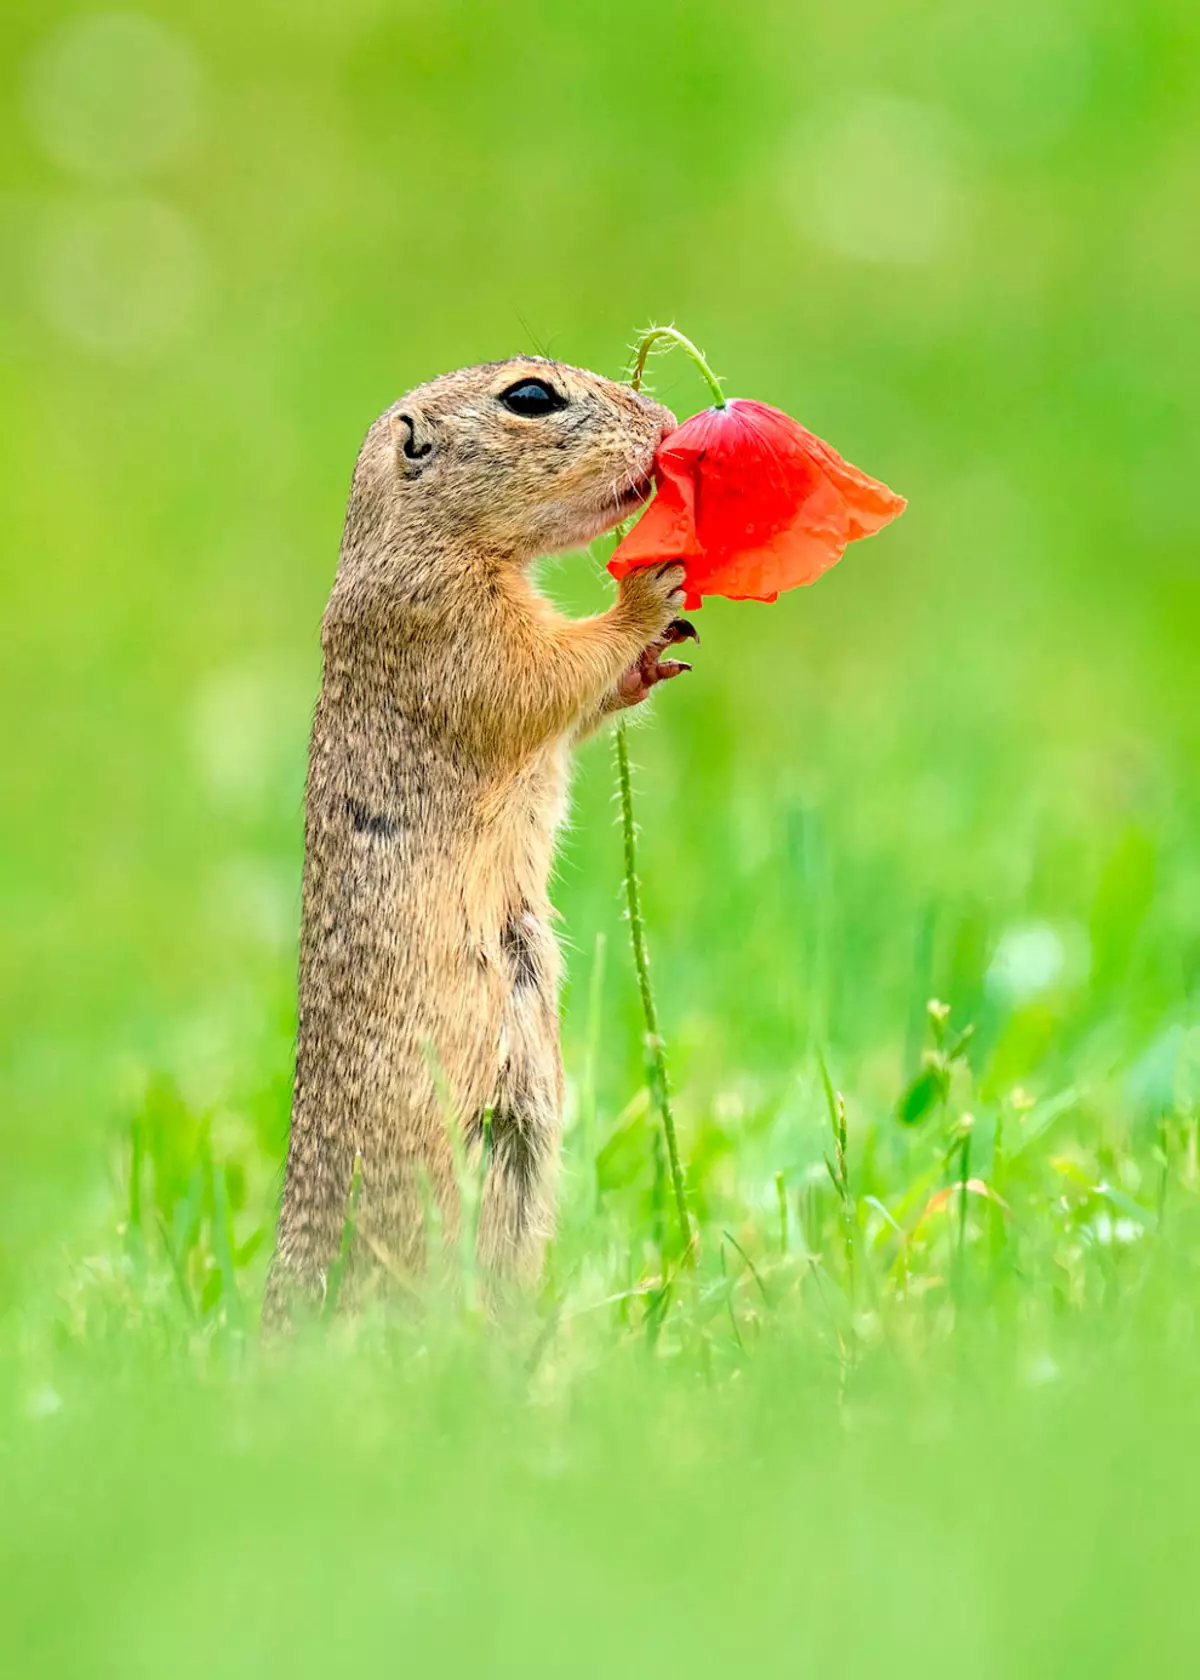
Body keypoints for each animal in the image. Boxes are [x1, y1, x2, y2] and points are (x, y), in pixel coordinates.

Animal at [262, 357, 692, 1323]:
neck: (422, 540)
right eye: (530, 397)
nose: (665, 421)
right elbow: (544, 674)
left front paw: (654, 659)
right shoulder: (450, 625)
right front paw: (650, 593)